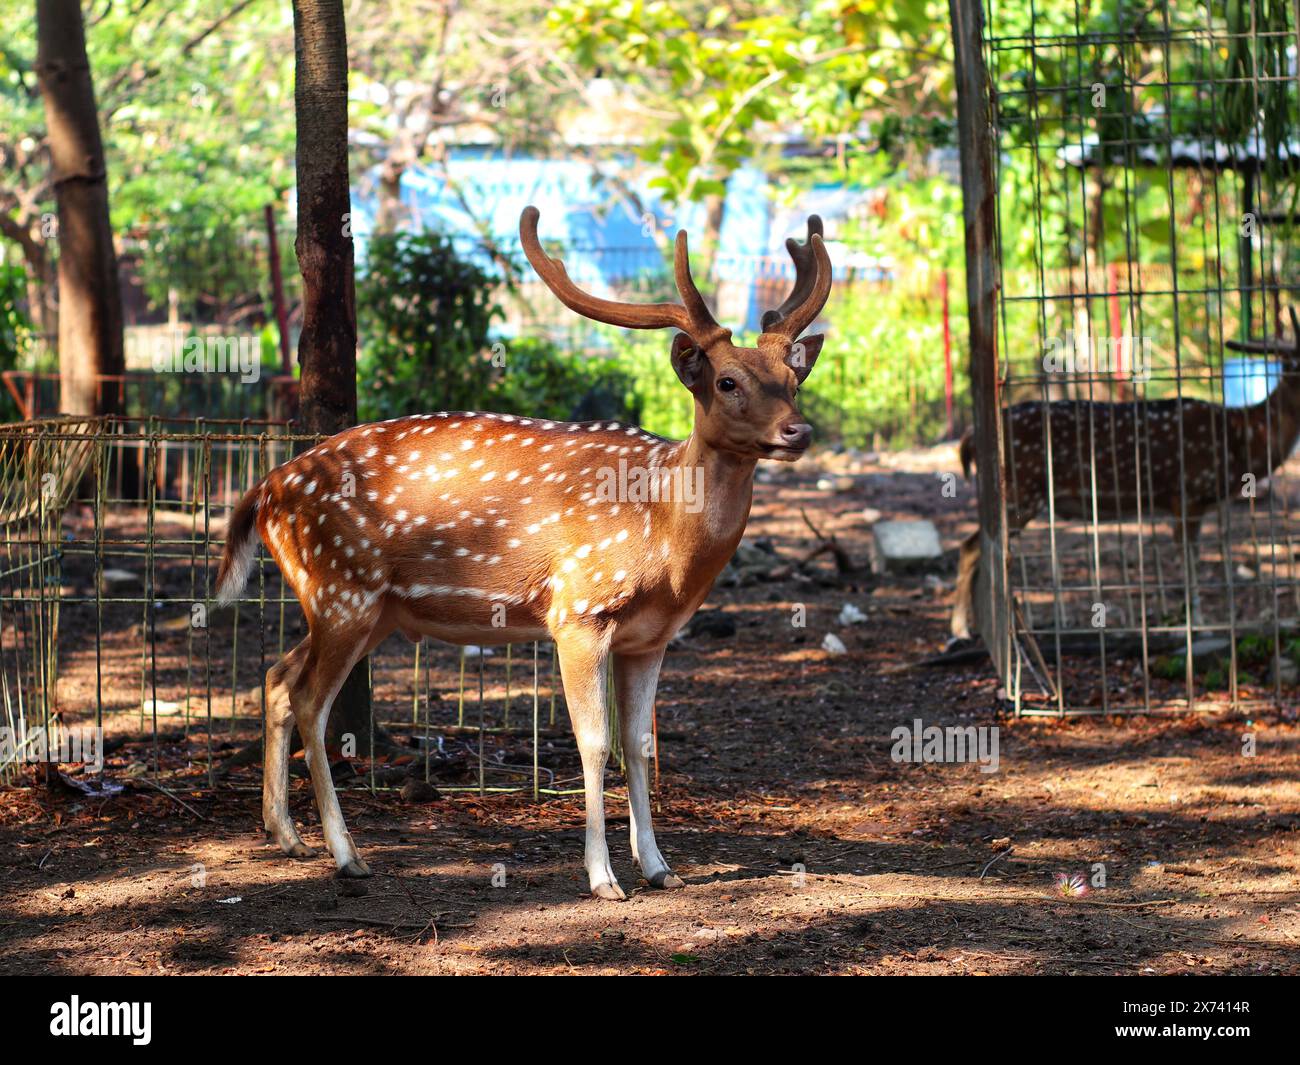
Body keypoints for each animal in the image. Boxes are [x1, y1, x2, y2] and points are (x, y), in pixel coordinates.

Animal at [214, 206, 832, 899]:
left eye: (793, 381)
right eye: (727, 382)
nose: (798, 430)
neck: (665, 546)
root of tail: (264, 489)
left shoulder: (651, 637)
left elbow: (641, 747)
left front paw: (660, 867)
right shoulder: (579, 612)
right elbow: (594, 743)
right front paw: (602, 877)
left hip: (367, 608)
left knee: (276, 676)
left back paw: (285, 835)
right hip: (342, 585)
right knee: (310, 701)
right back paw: (346, 855)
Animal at [950, 309, 1300, 643]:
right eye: (1295, 367)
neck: (1241, 439)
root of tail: (970, 437)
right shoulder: (1187, 494)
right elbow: (1189, 560)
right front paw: (1198, 624)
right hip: (1021, 491)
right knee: (971, 546)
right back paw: (961, 630)